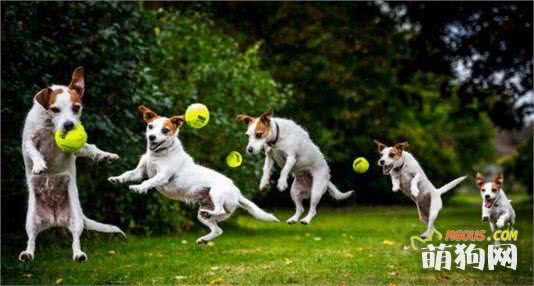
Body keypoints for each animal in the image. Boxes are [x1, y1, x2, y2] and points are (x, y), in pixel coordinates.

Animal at [18, 66, 125, 262]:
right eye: (55, 109)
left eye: (76, 108)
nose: (69, 125)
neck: (50, 126)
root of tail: (54, 219)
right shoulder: (28, 140)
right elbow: (33, 150)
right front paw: (39, 164)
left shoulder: (77, 149)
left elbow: (90, 148)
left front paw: (105, 156)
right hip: (31, 220)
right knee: (31, 239)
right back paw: (27, 254)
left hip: (75, 219)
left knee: (75, 239)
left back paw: (79, 255)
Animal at [107, 105, 278, 244]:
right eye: (150, 126)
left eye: (165, 130)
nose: (151, 137)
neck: (158, 155)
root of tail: (237, 192)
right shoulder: (140, 171)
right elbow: (128, 174)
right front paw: (117, 179)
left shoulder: (162, 176)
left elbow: (148, 182)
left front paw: (138, 188)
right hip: (203, 215)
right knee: (218, 229)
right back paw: (204, 238)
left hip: (216, 194)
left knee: (220, 210)